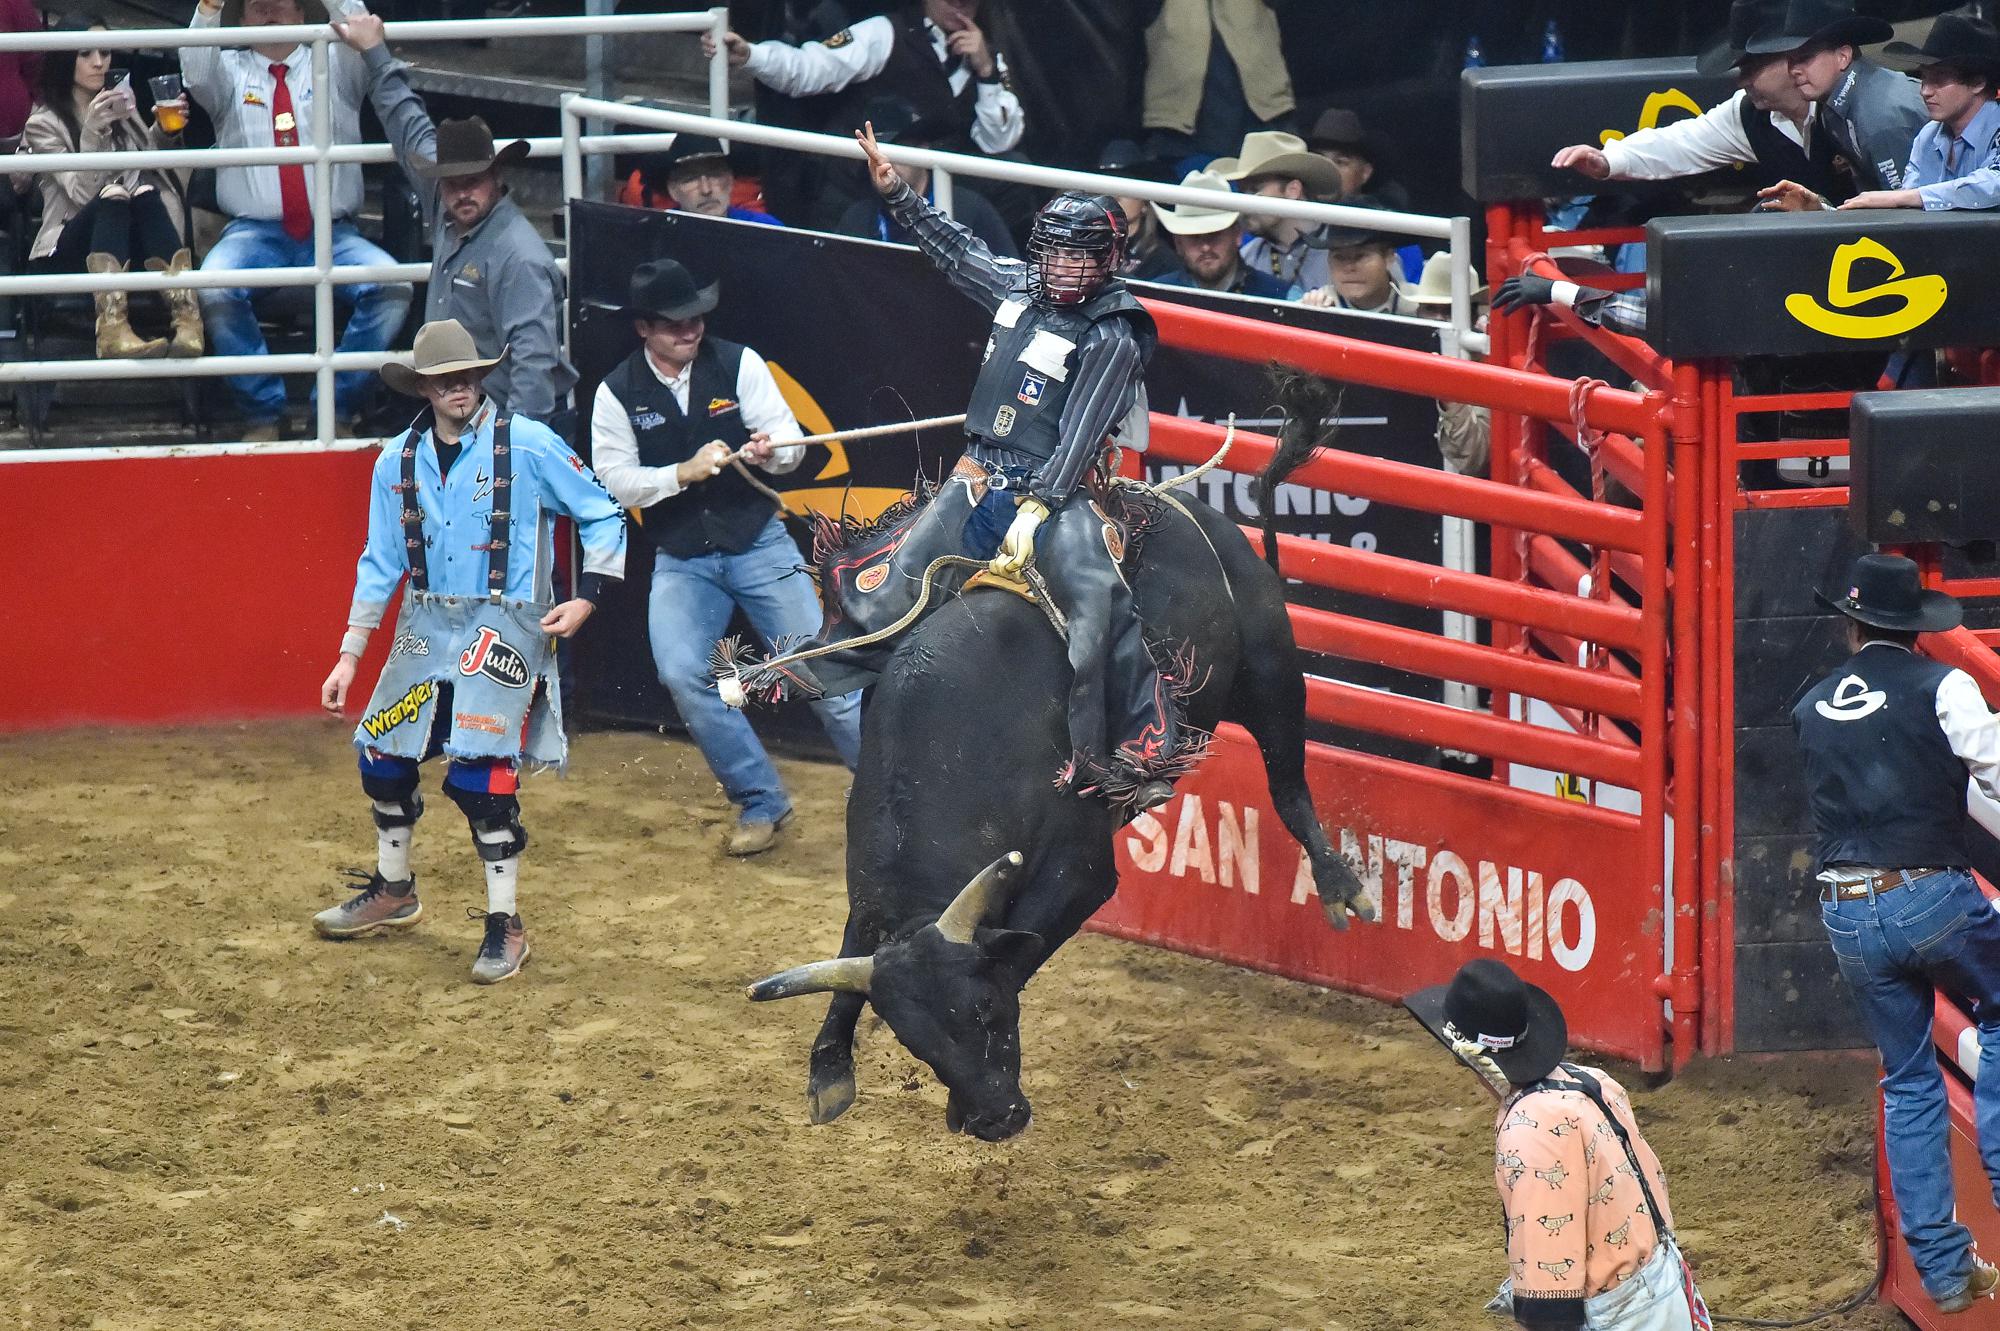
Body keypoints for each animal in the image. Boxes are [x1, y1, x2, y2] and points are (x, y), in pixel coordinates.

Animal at [742, 402, 1375, 1141]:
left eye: (984, 1008)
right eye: (914, 1043)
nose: (995, 1118)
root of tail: (1194, 510)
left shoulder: (1081, 870)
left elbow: (1026, 943)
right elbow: (853, 958)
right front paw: (830, 1070)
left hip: (1271, 669)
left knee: (1288, 782)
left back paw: (1338, 885)